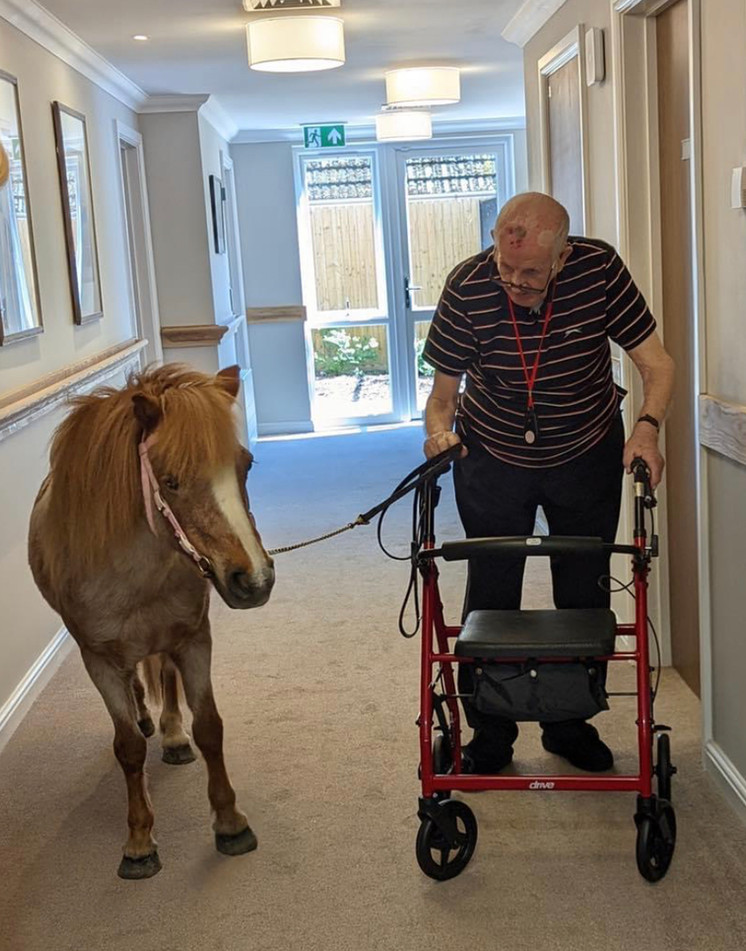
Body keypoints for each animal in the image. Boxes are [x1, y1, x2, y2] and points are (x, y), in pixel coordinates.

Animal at [28, 363, 275, 879]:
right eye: (171, 480)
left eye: (245, 465)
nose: (255, 580)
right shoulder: (99, 661)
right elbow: (128, 749)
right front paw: (139, 841)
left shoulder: (193, 640)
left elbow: (210, 727)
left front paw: (230, 822)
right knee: (137, 694)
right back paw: (145, 717)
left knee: (163, 677)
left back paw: (173, 734)